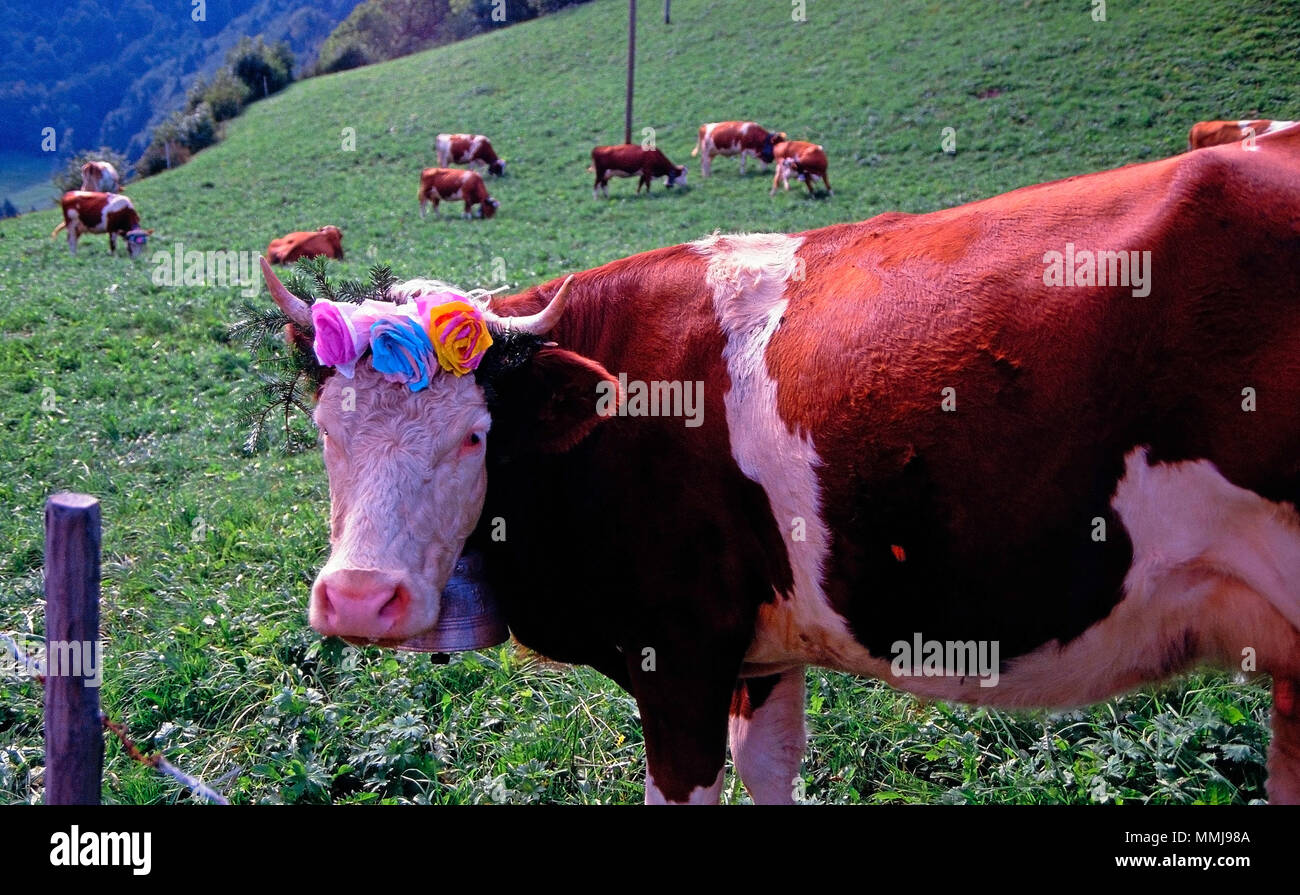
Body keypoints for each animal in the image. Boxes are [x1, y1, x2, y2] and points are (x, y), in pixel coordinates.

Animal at [256, 120, 1300, 805]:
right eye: (327, 427)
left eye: (475, 435)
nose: (358, 601)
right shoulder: (764, 644)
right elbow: (770, 770)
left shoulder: (677, 653)